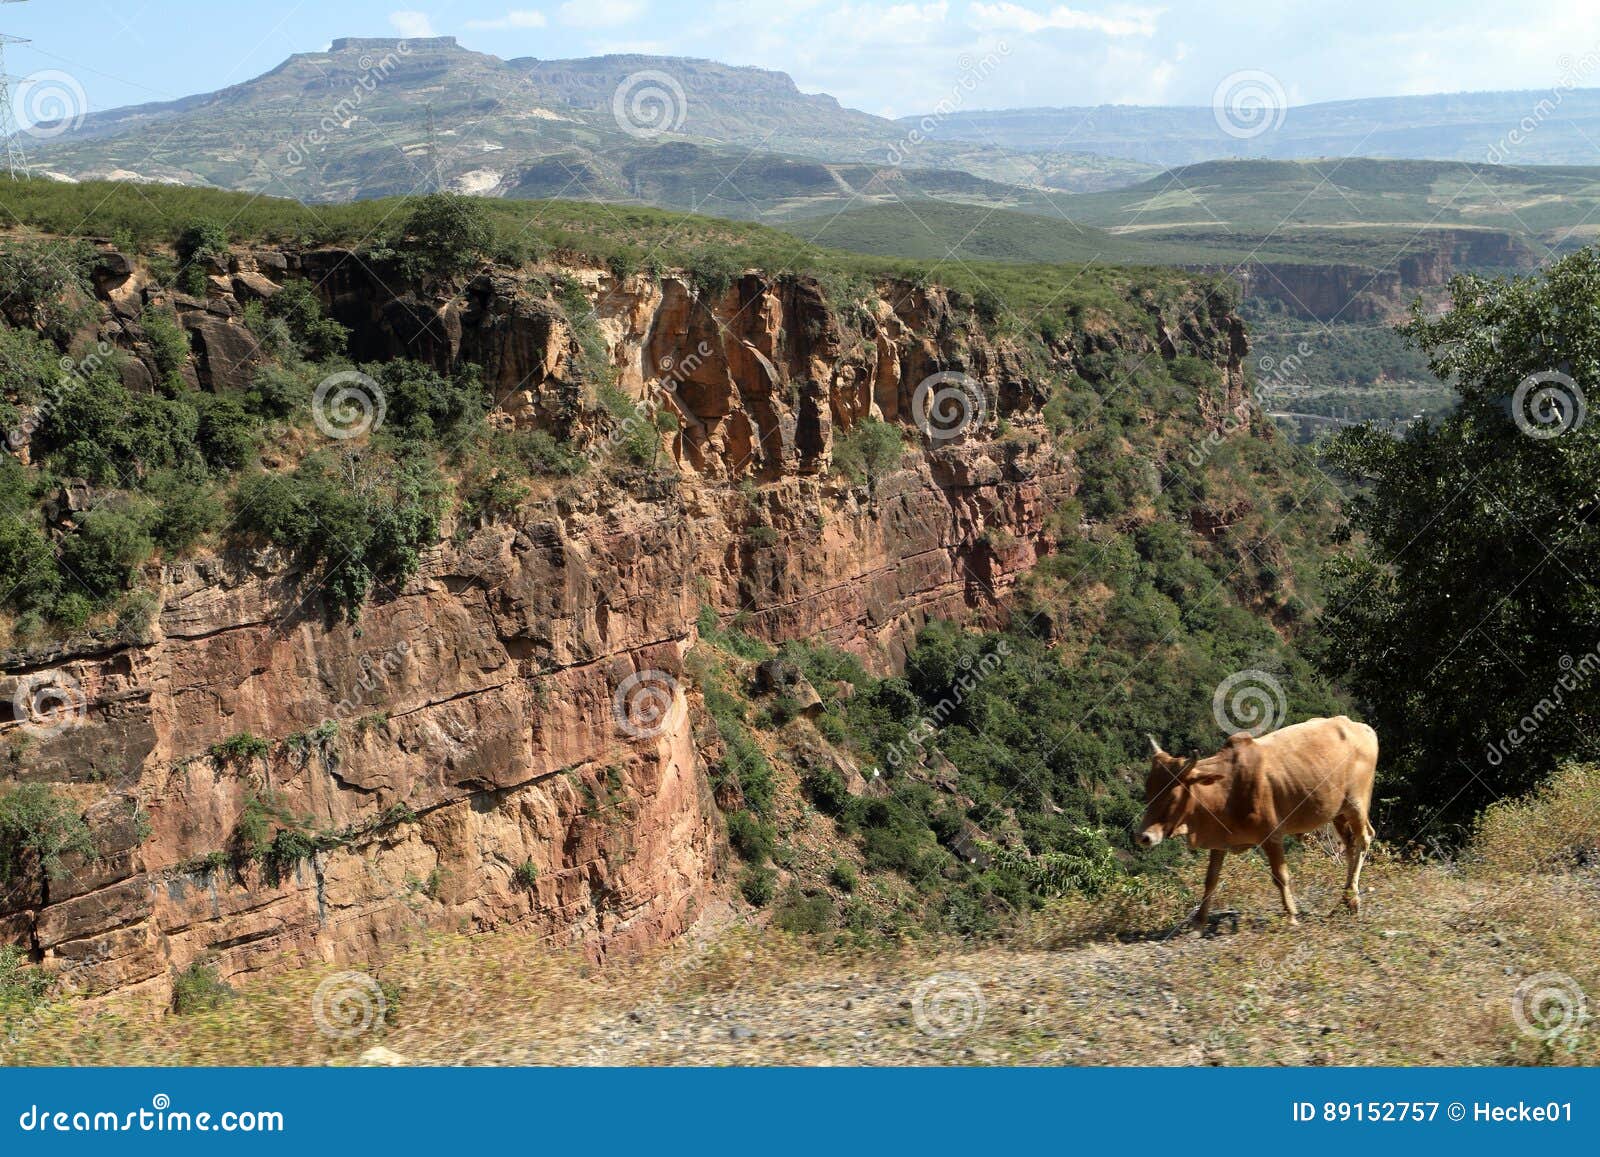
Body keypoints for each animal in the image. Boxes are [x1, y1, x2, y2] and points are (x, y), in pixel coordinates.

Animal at [1136, 716, 1377, 928]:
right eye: (1149, 790)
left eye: (1173, 796)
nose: (1144, 837)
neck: (1227, 789)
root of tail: (1362, 728)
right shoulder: (1219, 841)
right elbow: (1211, 879)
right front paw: (1198, 922)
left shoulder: (1272, 836)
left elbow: (1281, 876)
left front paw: (1291, 916)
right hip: (1337, 813)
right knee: (1350, 845)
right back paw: (1347, 901)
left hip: (1356, 805)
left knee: (1364, 839)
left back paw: (1351, 901)